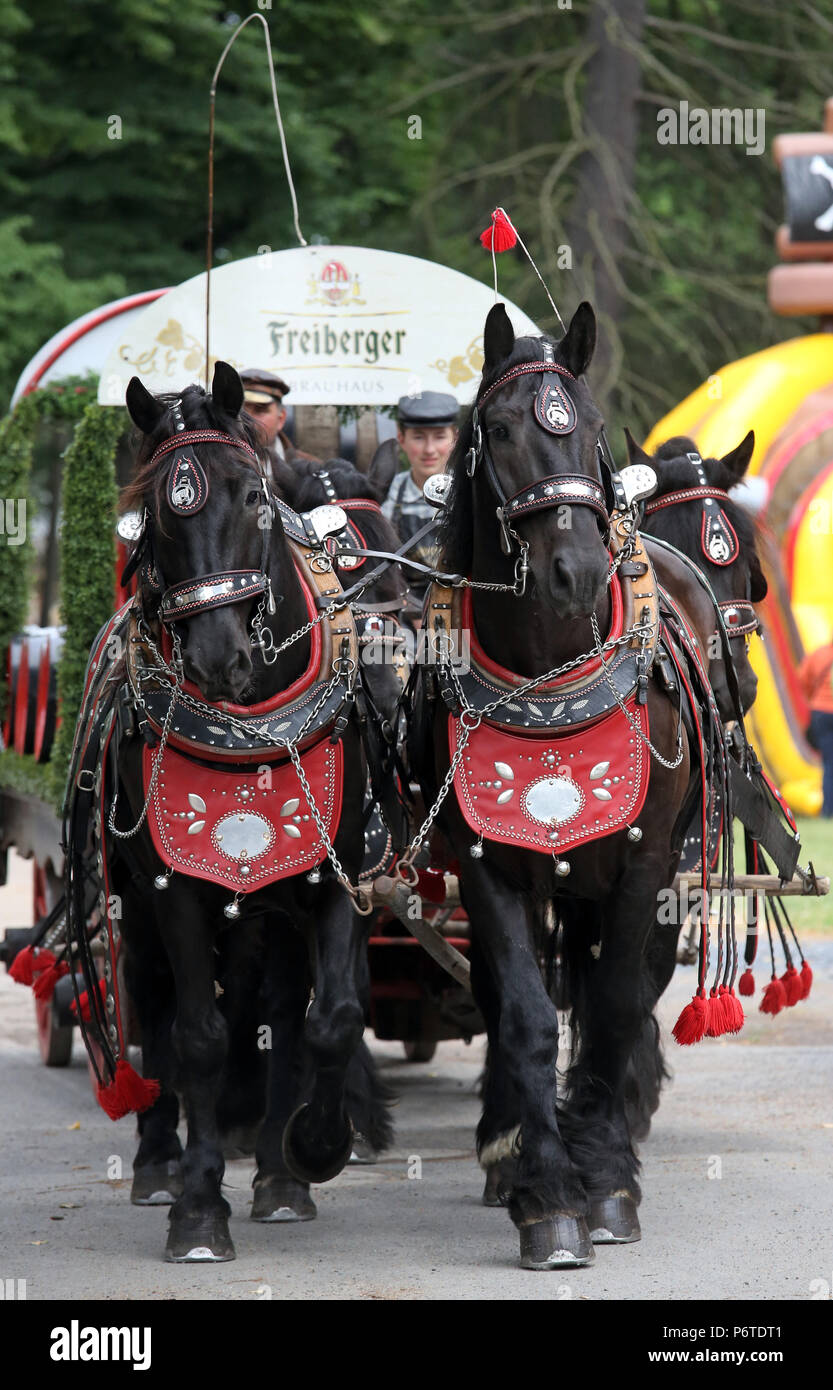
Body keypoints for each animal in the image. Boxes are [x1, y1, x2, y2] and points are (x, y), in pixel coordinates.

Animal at [109, 366, 372, 1262]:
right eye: (158, 513)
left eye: (255, 498)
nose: (218, 655)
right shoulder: (175, 888)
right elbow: (198, 1038)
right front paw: (197, 1208)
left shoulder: (333, 872)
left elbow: (332, 1019)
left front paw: (314, 1147)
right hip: (137, 902)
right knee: (153, 1006)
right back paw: (160, 1163)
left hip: (274, 909)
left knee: (283, 1014)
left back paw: (280, 1177)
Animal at [406, 304, 700, 1273]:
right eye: (498, 431)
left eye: (594, 426)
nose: (574, 571)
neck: (552, 666)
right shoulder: (488, 862)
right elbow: (529, 1015)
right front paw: (545, 1196)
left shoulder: (644, 862)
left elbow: (609, 1006)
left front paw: (603, 1179)